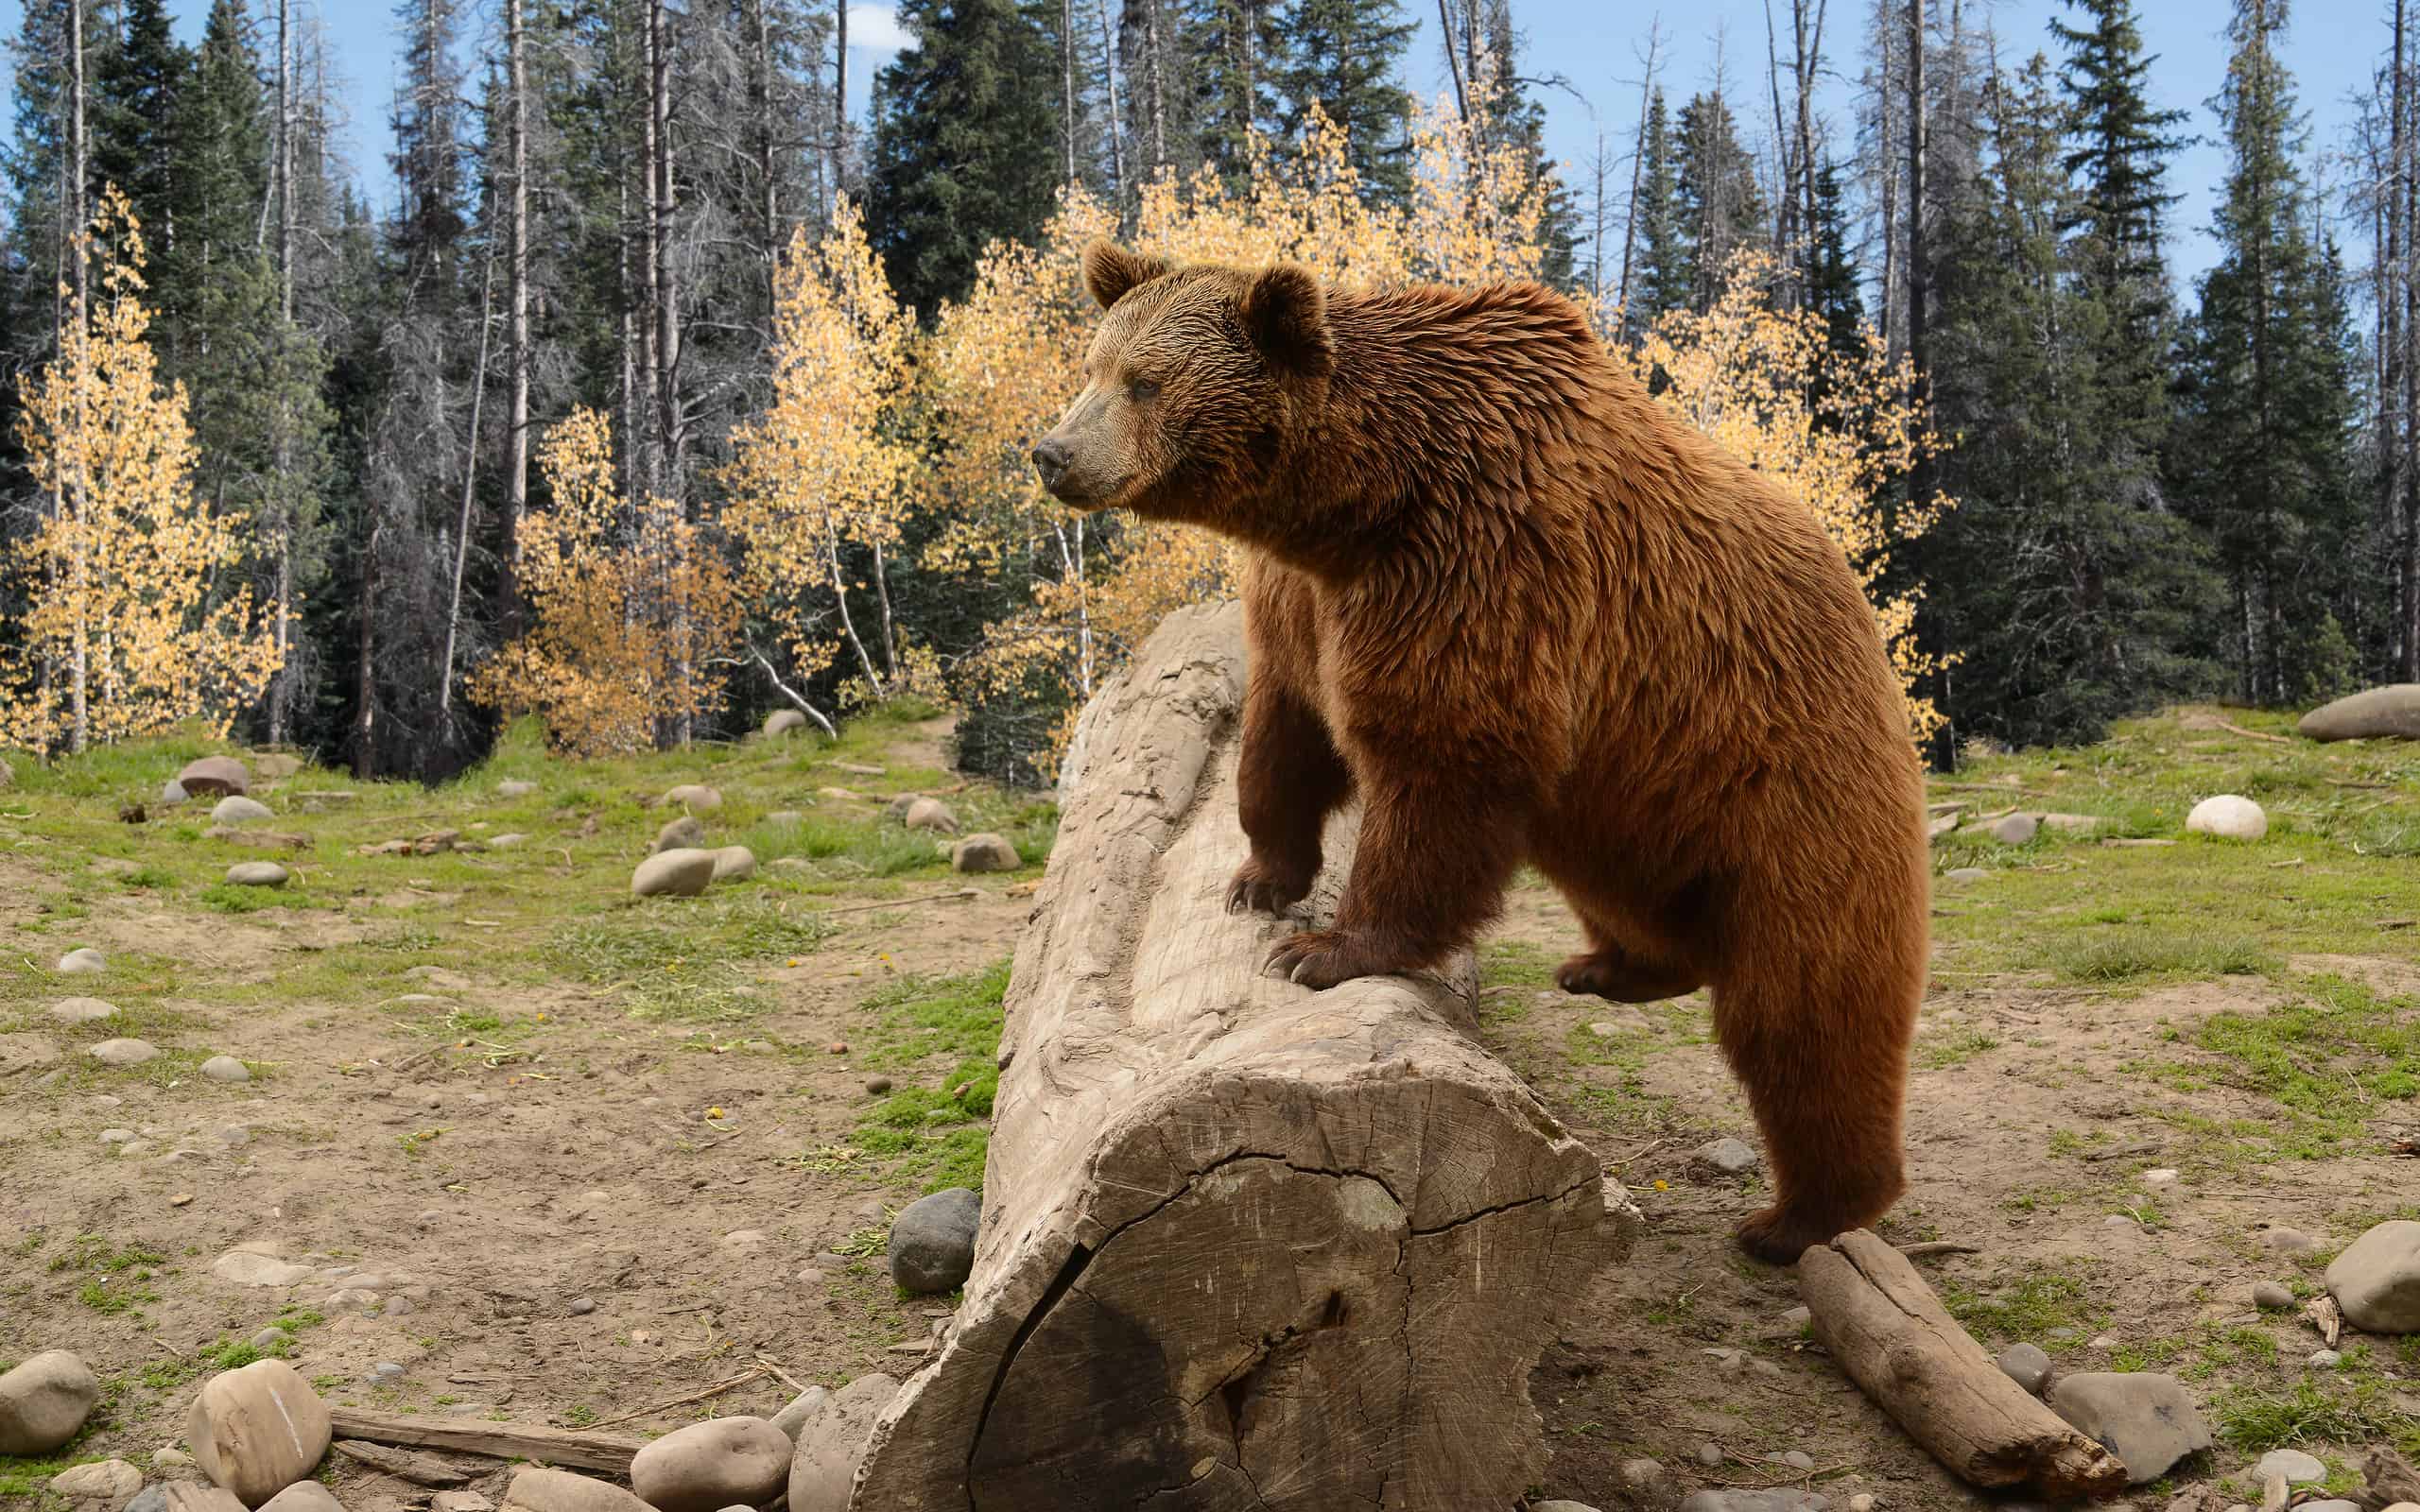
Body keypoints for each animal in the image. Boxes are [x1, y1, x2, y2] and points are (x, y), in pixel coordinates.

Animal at [1030, 241, 1931, 1264]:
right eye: (1092, 365)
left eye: (1144, 380)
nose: (1054, 453)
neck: (1356, 507)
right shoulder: (1304, 603)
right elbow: (1284, 737)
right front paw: (1260, 879)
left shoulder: (1480, 570)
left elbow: (1440, 769)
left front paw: (1325, 949)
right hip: (1634, 795)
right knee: (1633, 892)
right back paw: (1613, 968)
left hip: (1788, 783)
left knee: (1805, 1014)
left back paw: (1798, 1215)